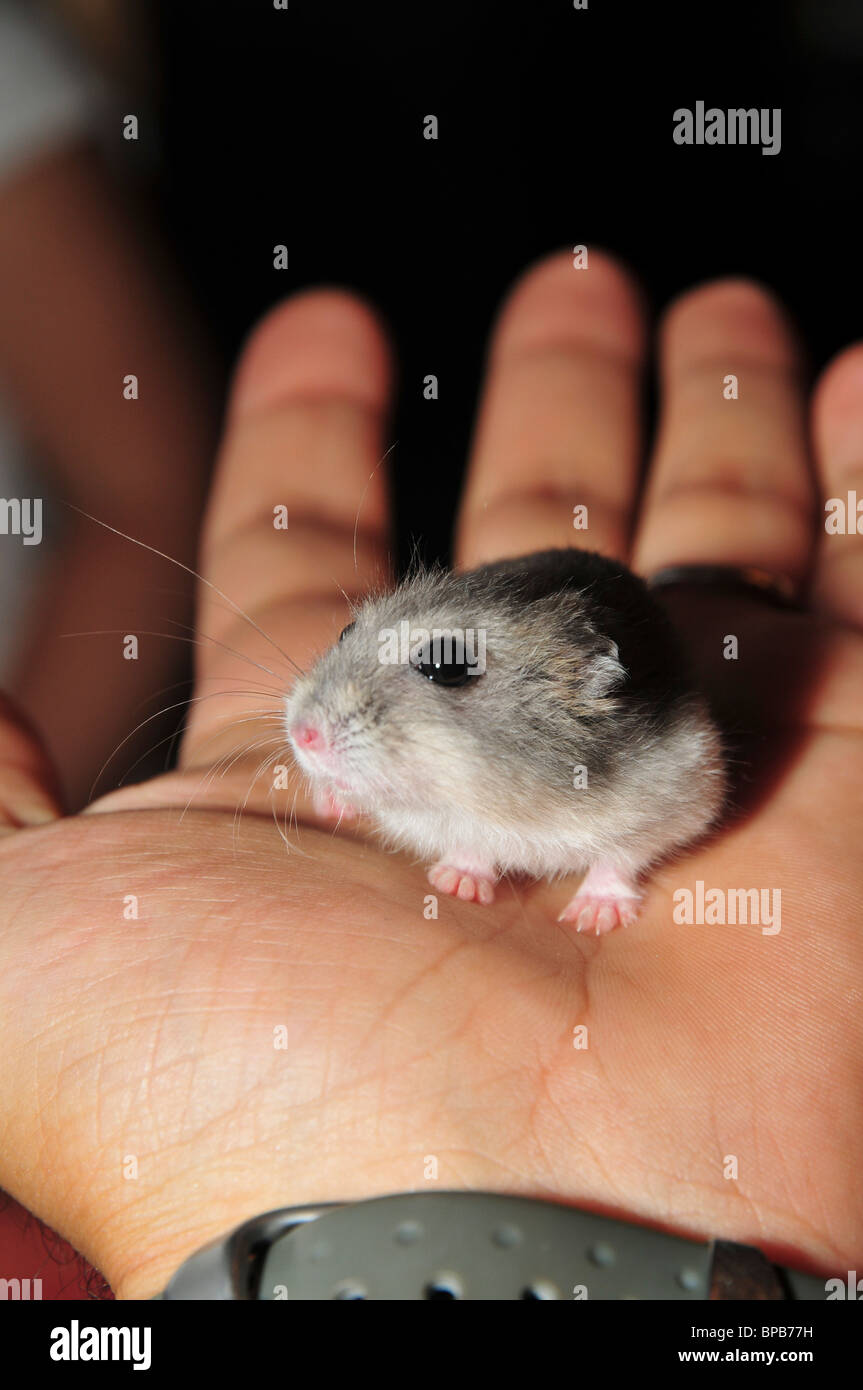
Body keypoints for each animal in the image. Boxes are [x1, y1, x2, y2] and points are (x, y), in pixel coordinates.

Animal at [284, 548, 725, 933]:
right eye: (346, 630)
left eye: (447, 665)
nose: (302, 735)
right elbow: (470, 844)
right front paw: (456, 883)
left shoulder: (682, 793)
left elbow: (619, 859)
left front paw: (593, 919)